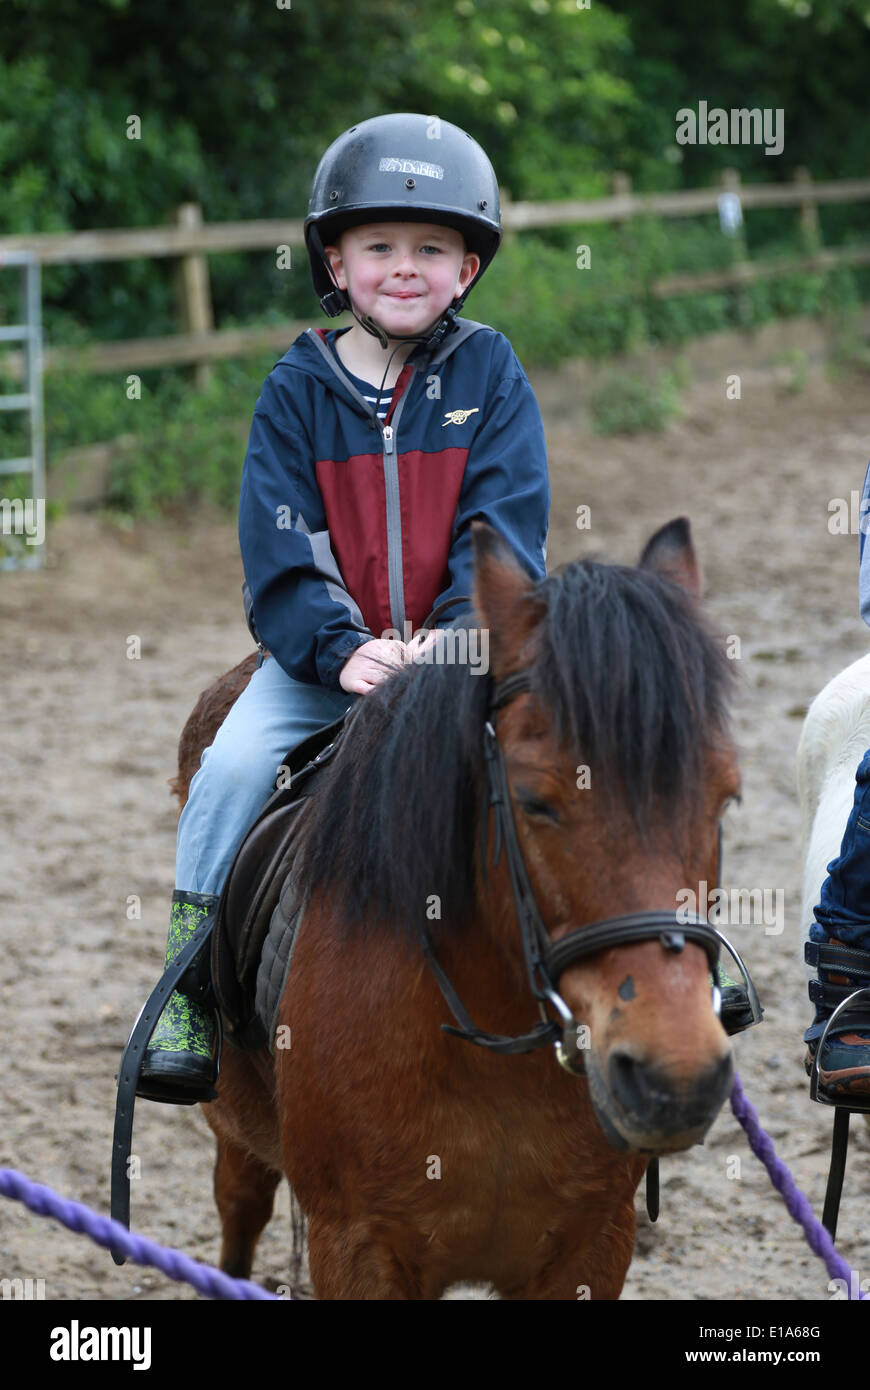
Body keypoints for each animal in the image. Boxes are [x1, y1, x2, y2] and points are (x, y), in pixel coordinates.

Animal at [172, 516, 741, 1300]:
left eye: (725, 796)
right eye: (536, 800)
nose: (675, 1078)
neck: (490, 1039)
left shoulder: (595, 1245)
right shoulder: (356, 1247)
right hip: (235, 1127)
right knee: (240, 1210)